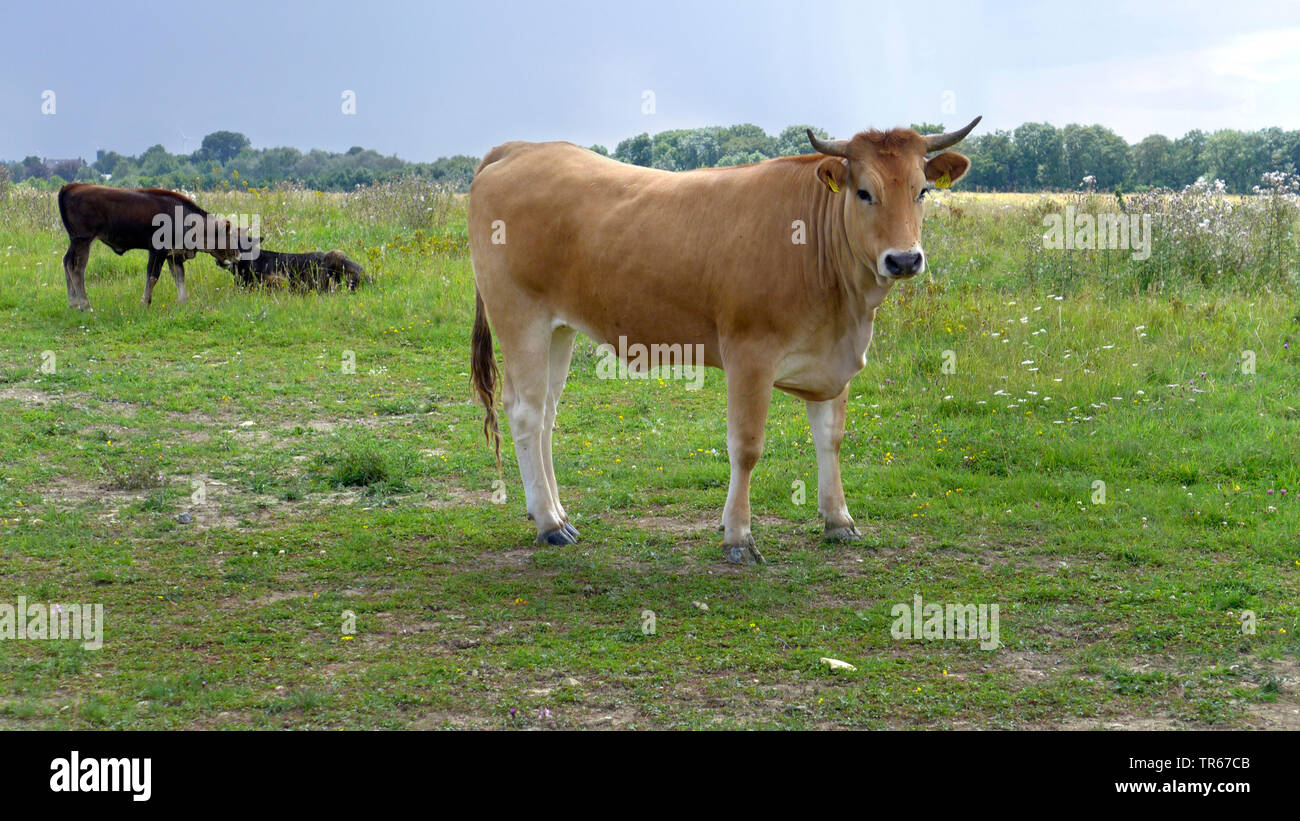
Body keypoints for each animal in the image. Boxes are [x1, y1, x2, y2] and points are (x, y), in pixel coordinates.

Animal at [57, 183, 250, 310]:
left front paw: (183, 301)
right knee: (77, 268)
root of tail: (71, 186)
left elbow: (179, 277)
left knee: (66, 262)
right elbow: (152, 277)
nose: (238, 256)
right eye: (231, 237)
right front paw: (146, 302)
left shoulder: (174, 255)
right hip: (83, 241)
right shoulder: (157, 251)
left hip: (75, 242)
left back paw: (73, 303)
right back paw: (85, 305)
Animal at [467, 117, 980, 563]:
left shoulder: (832, 359)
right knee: (526, 412)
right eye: (864, 192)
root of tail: (522, 148)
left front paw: (839, 520)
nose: (904, 260)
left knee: (548, 414)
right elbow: (746, 446)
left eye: (922, 190)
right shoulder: (750, 355)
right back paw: (549, 523)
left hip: (559, 328)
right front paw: (738, 535)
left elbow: (830, 439)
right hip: (520, 315)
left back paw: (557, 512)